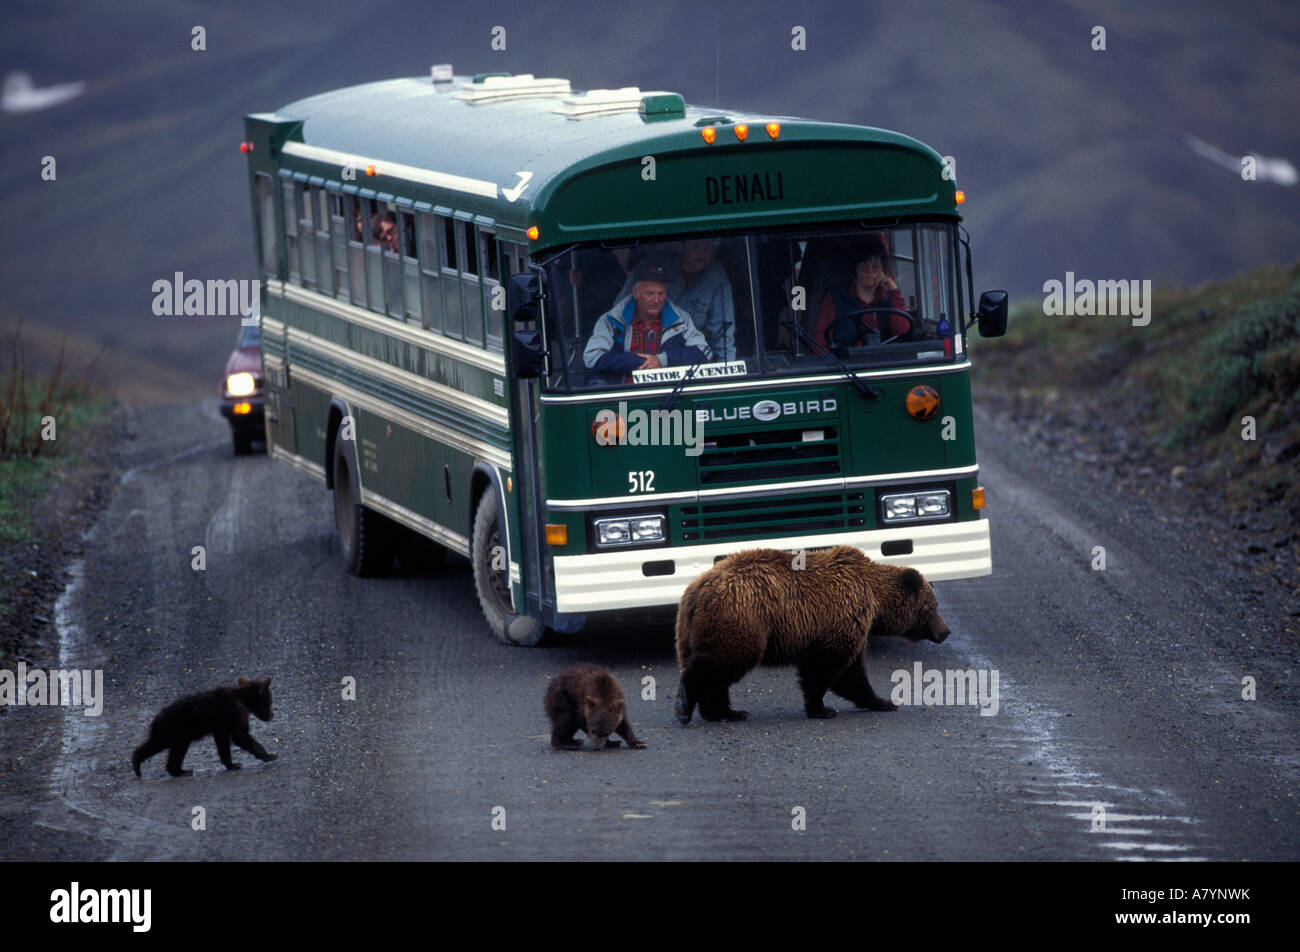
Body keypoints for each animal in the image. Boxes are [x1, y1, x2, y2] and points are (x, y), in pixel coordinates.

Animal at [132, 676, 277, 777]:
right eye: (270, 701)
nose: (272, 715)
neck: (243, 701)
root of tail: (155, 719)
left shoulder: (221, 726)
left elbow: (223, 744)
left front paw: (231, 764)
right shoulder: (234, 715)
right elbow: (241, 736)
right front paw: (269, 755)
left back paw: (178, 770)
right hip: (174, 730)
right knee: (160, 745)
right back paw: (139, 764)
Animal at [674, 546, 949, 723]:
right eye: (933, 608)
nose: (945, 631)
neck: (874, 600)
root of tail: (696, 590)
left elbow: (849, 672)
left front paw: (881, 701)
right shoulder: (840, 618)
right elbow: (829, 670)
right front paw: (825, 709)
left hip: (691, 630)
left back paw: (725, 713)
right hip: (742, 618)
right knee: (722, 663)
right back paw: (686, 706)